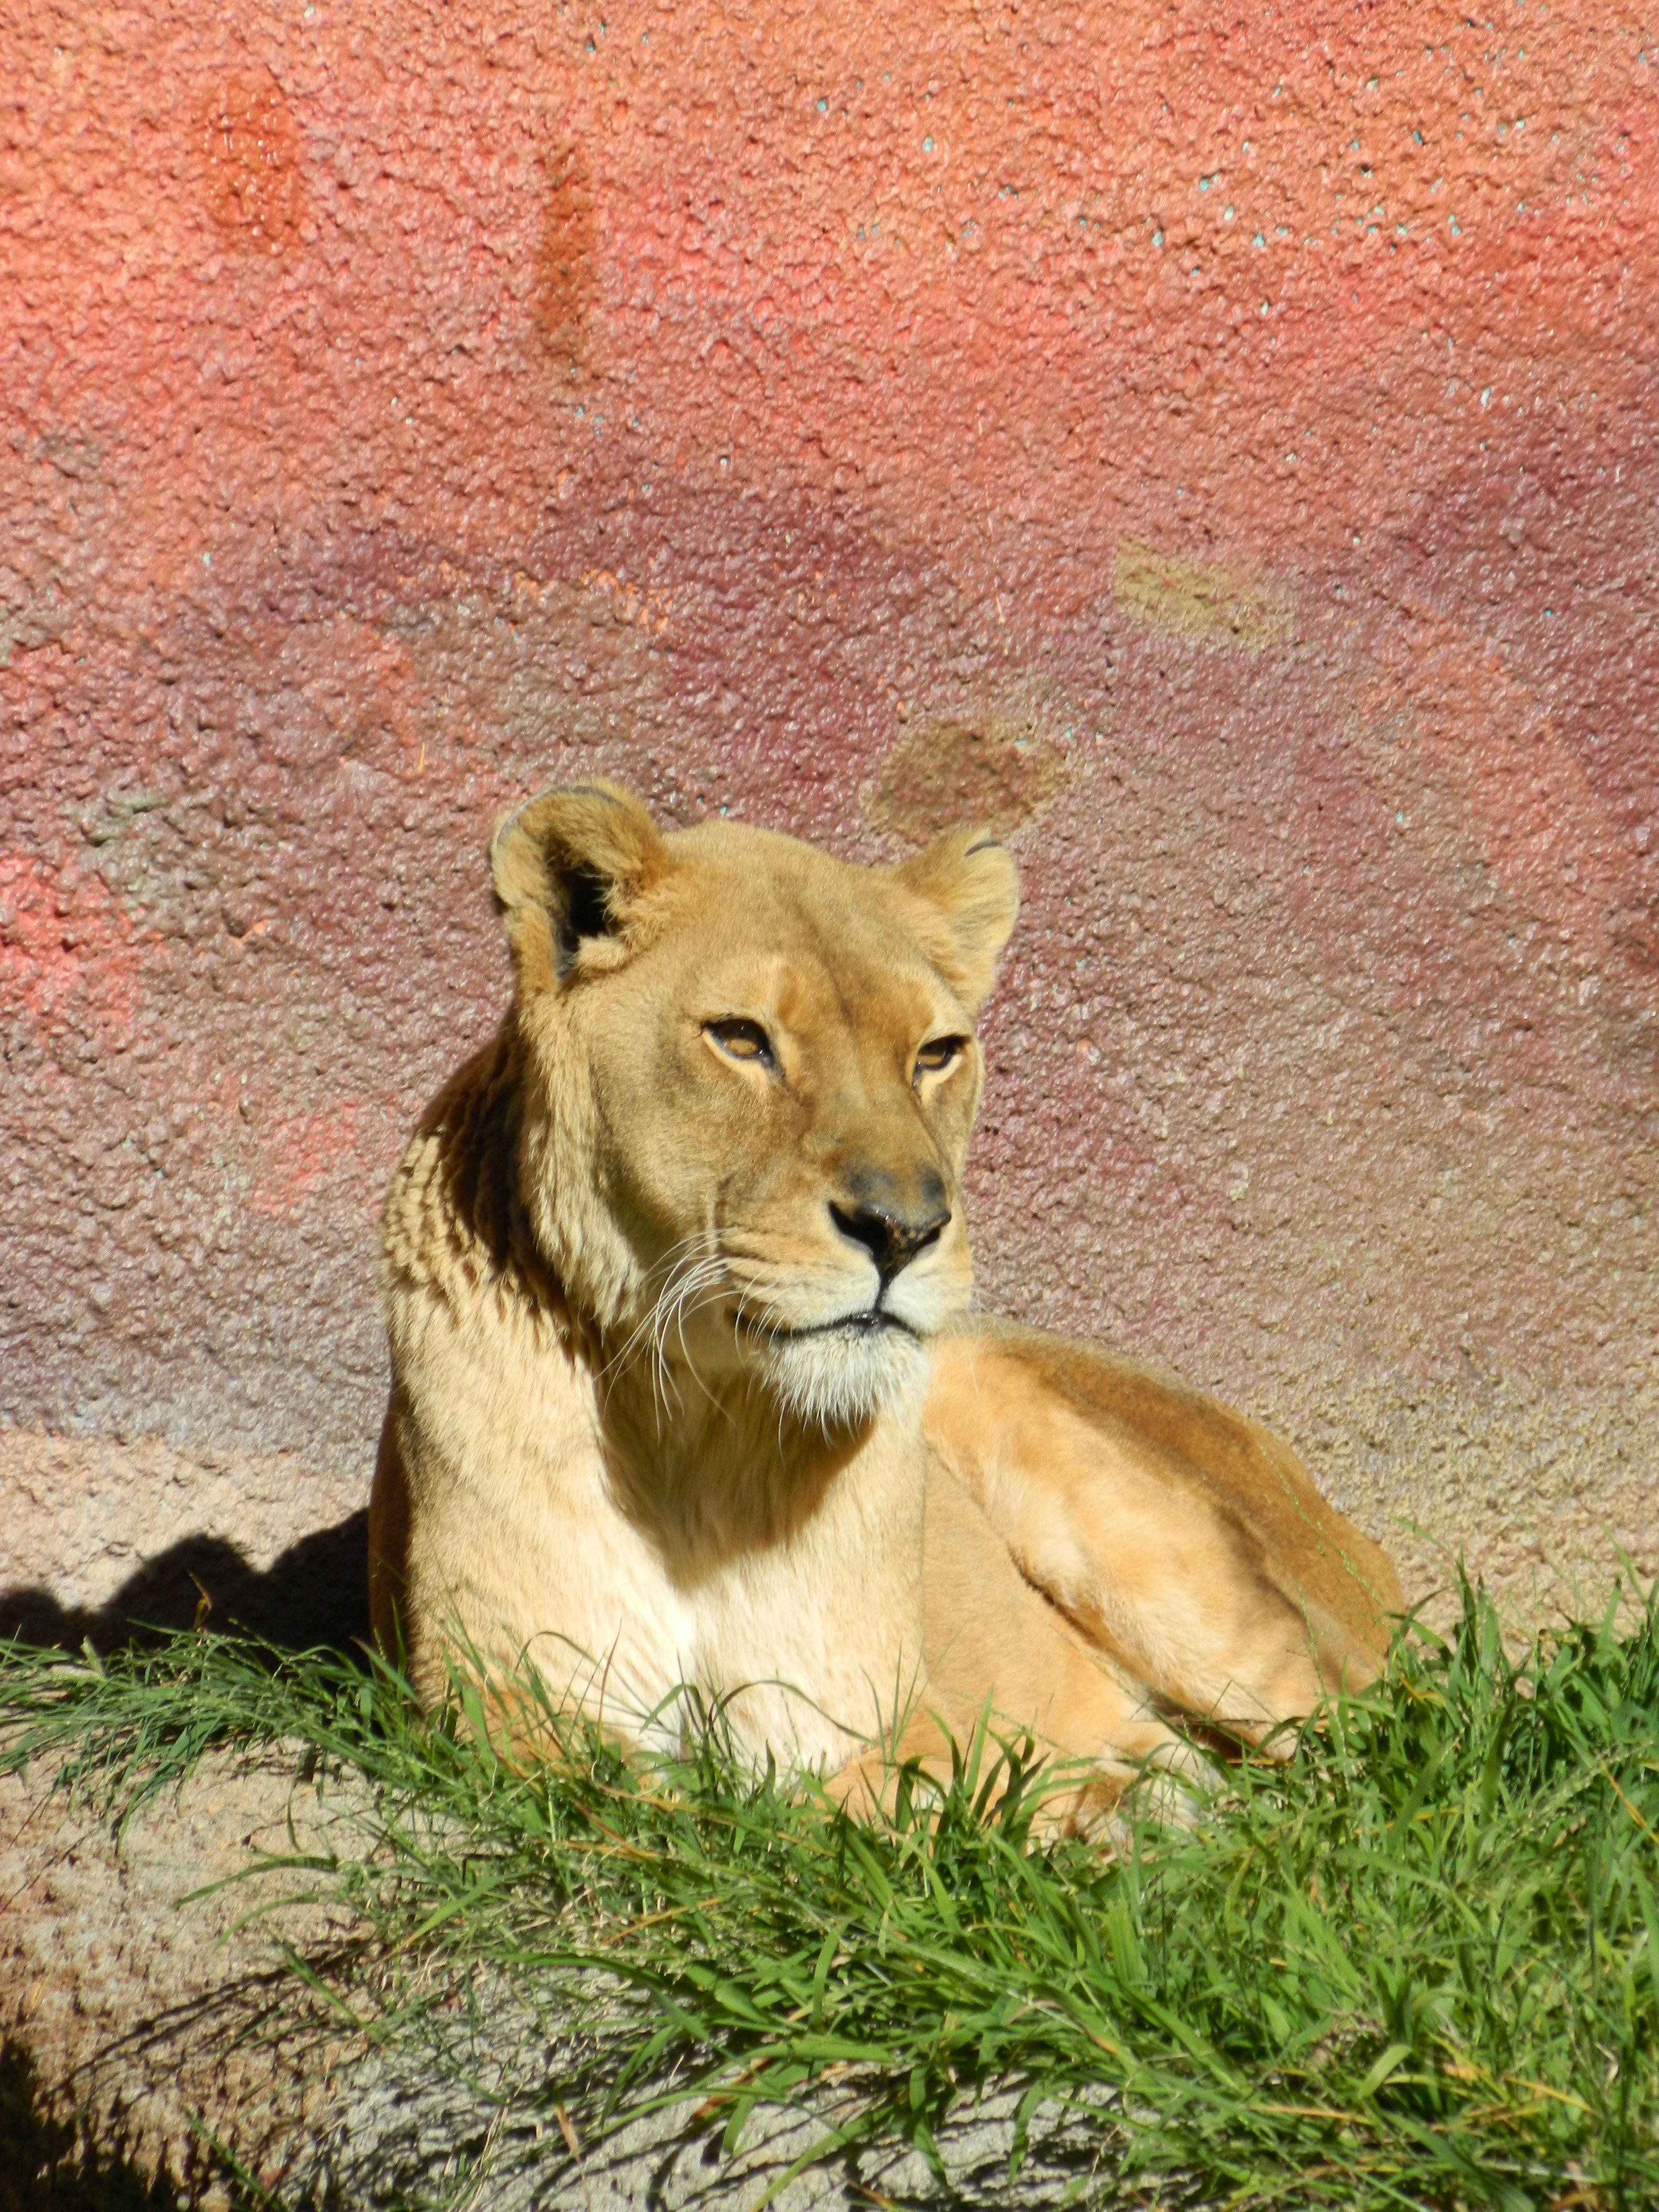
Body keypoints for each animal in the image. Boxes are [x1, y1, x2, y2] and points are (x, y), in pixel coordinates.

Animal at [370, 780, 1401, 1828]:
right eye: (741, 1040)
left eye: (937, 1053)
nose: (905, 1230)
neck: (688, 1436)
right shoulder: (493, 1706)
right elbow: (675, 1806)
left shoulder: (896, 1714)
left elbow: (831, 1807)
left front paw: (1081, 1811)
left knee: (1379, 1749)